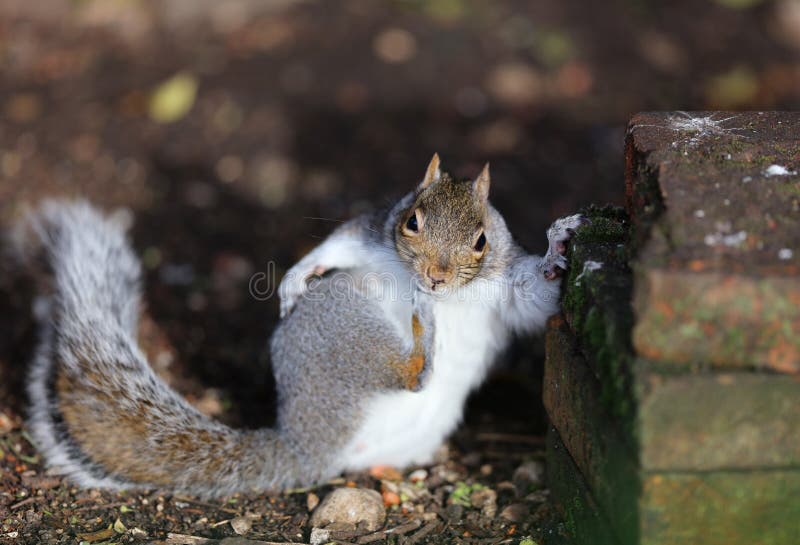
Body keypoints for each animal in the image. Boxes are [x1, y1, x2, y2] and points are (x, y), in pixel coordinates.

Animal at [13, 154, 585, 498]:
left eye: (482, 239)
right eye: (412, 222)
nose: (435, 278)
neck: (454, 295)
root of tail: (305, 445)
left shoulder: (506, 292)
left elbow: (537, 296)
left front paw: (559, 246)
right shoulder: (369, 235)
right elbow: (336, 245)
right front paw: (292, 278)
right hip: (342, 318)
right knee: (408, 371)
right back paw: (422, 324)